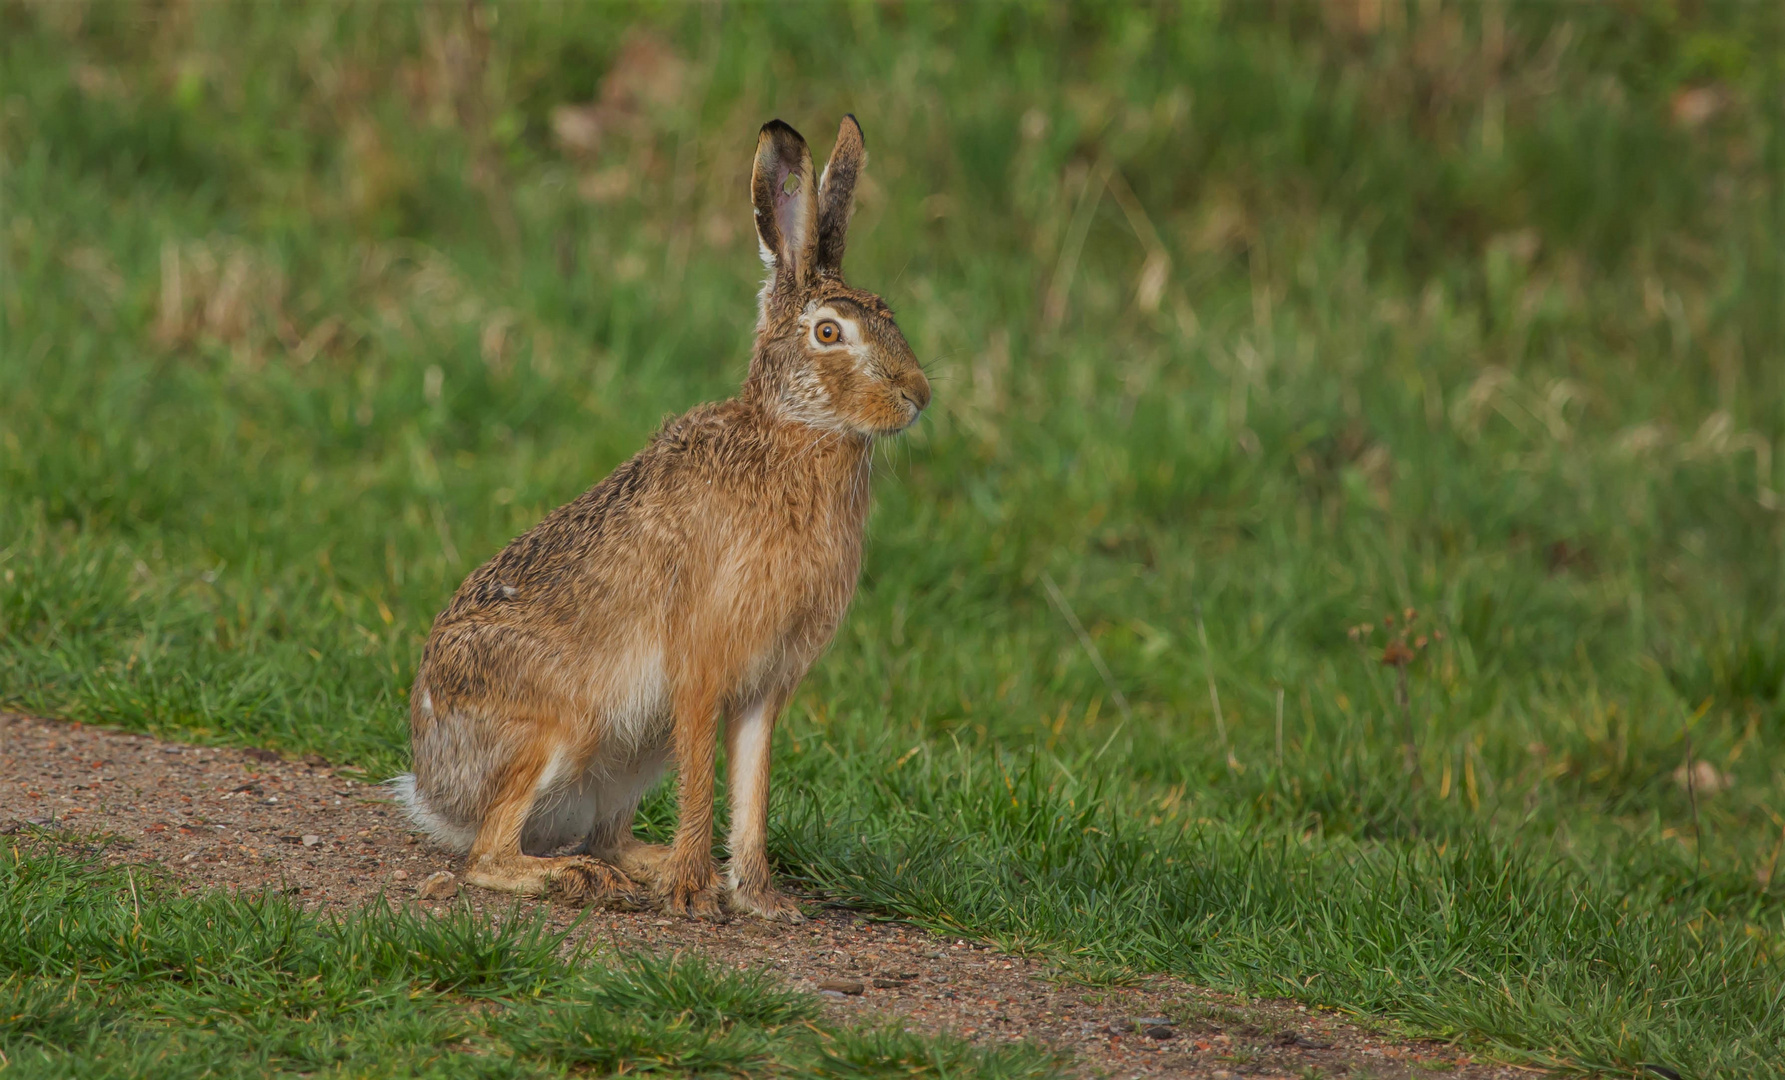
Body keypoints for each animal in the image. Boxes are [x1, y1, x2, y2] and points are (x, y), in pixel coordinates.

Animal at [391, 116, 929, 921]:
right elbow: (706, 779)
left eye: (887, 314)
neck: (793, 434)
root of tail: (433, 786)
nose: (918, 395)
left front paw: (759, 897)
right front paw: (696, 894)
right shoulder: (701, 663)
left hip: (630, 754)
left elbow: (751, 786)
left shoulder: (766, 685)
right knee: (487, 855)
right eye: (830, 333)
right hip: (559, 730)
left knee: (603, 834)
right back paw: (583, 878)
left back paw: (637, 867)